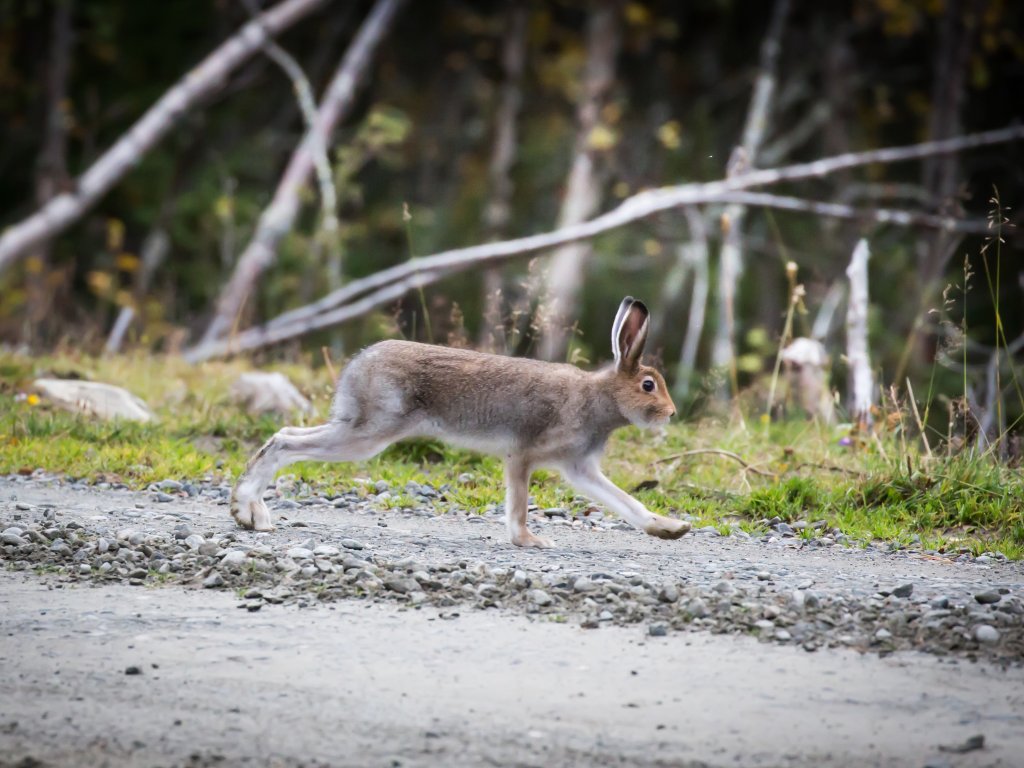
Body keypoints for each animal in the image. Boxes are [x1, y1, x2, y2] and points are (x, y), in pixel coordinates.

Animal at [231, 296, 692, 548]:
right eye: (648, 384)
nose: (671, 413)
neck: (600, 397)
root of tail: (357, 364)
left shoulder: (580, 467)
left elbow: (626, 502)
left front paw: (670, 528)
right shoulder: (524, 455)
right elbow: (519, 505)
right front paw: (530, 541)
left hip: (358, 428)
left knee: (285, 434)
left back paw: (250, 512)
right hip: (368, 433)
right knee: (285, 442)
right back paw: (248, 511)